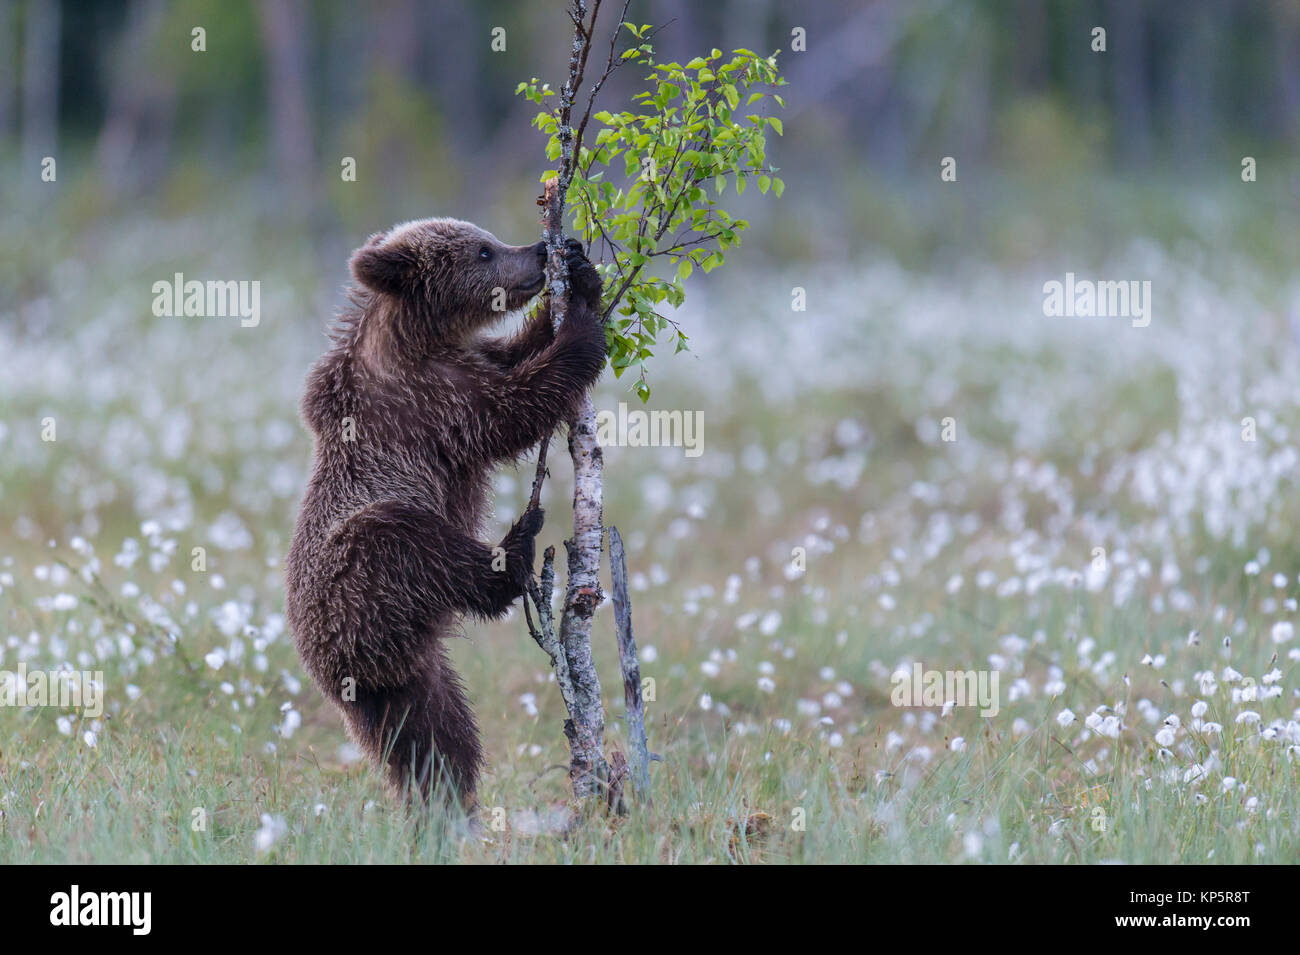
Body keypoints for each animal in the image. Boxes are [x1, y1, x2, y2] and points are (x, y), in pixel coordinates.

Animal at [284, 217, 606, 809]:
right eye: (483, 251)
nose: (537, 252)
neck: (417, 338)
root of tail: (338, 675)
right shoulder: (432, 401)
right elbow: (512, 410)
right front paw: (580, 329)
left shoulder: (468, 362)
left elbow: (514, 355)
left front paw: (581, 275)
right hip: (357, 577)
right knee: (415, 544)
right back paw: (514, 548)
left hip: (414, 680)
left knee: (438, 741)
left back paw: (447, 807)